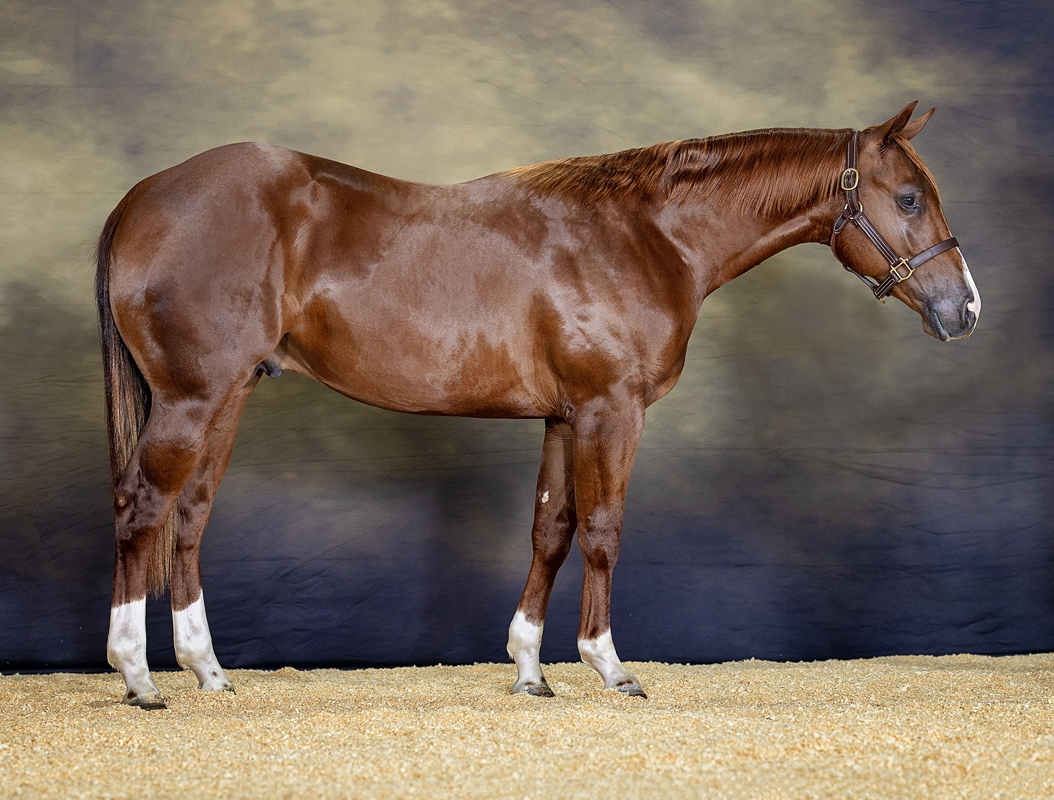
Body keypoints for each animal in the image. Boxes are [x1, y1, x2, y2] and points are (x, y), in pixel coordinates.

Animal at [97, 102, 979, 708]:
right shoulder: (611, 409)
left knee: (191, 513)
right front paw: (609, 665)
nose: (965, 308)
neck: (645, 236)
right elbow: (602, 530)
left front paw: (528, 669)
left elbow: (550, 531)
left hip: (228, 394)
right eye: (908, 198)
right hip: (192, 397)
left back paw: (208, 671)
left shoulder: (563, 415)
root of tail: (142, 196)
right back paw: (139, 678)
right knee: (144, 506)